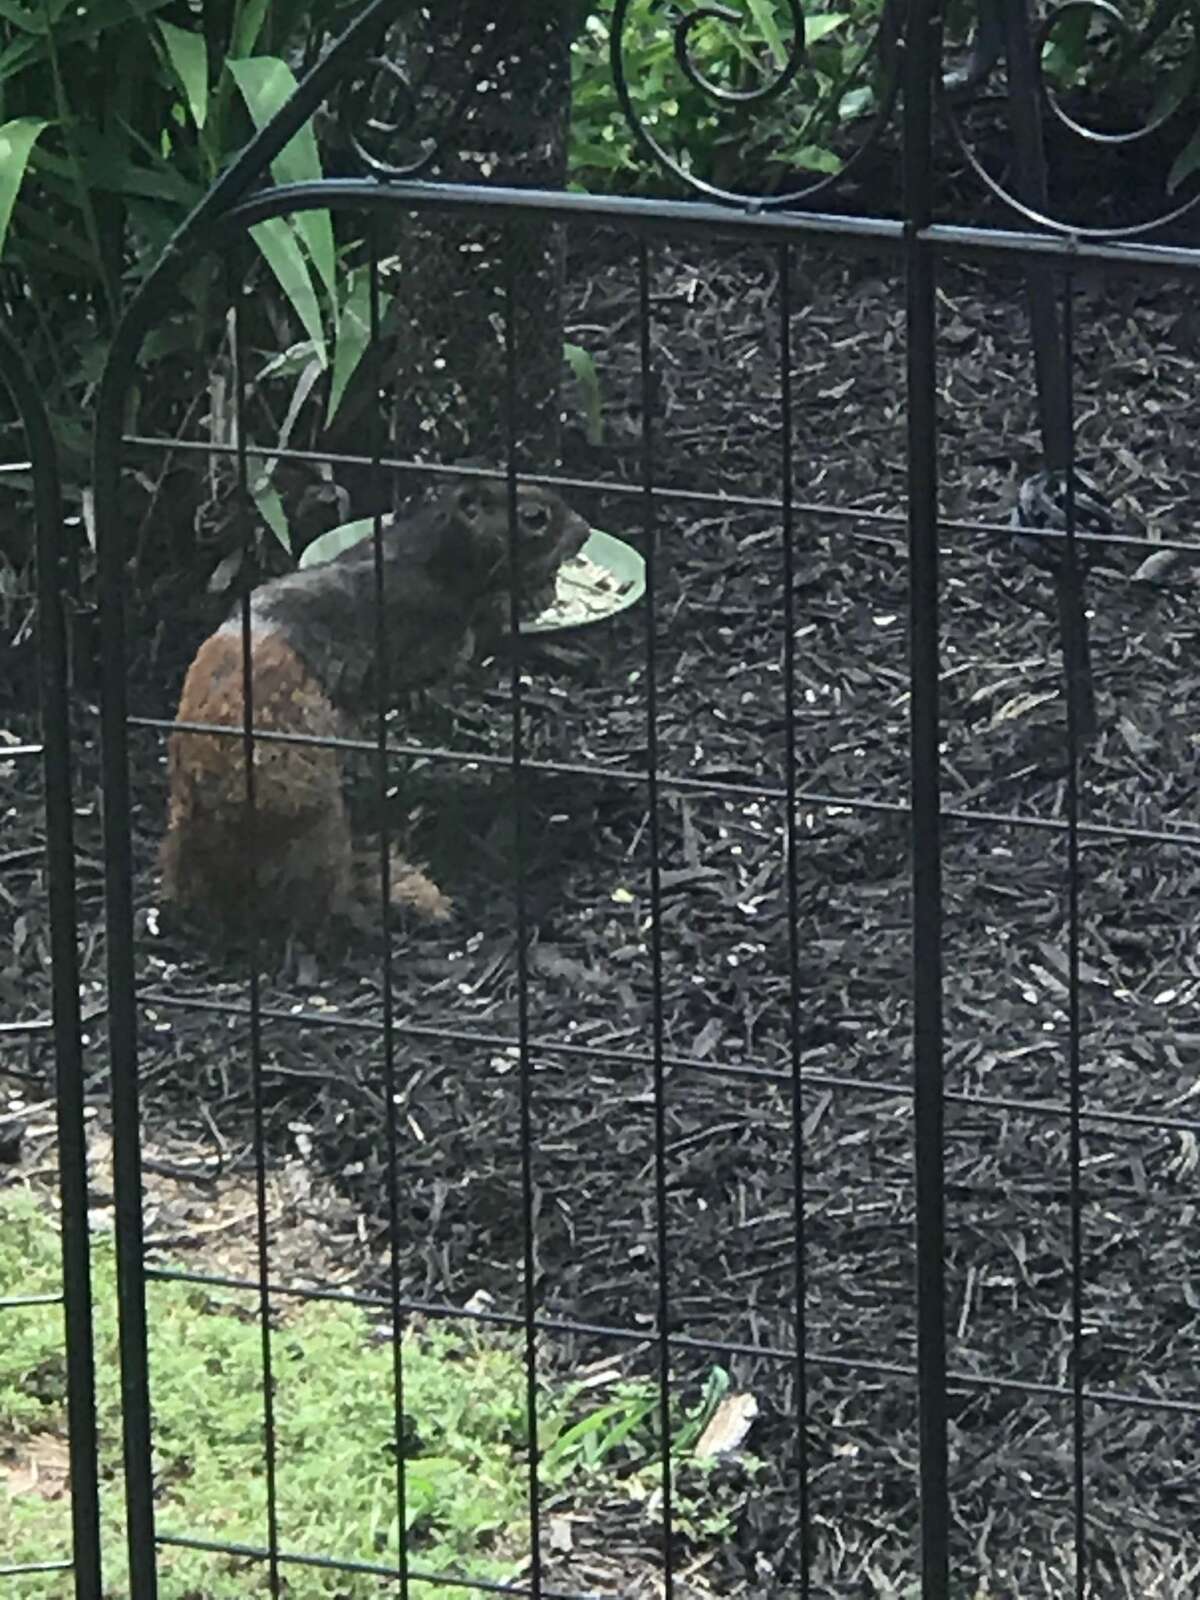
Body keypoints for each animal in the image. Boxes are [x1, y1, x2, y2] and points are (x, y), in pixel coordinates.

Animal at [159, 479, 589, 942]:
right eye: (535, 517)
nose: (584, 531)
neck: (426, 545)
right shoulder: (431, 626)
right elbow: (469, 638)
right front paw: (530, 597)